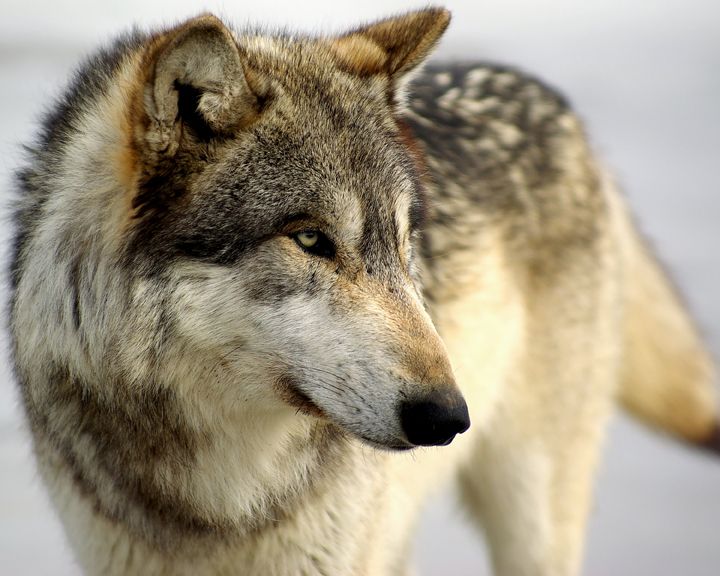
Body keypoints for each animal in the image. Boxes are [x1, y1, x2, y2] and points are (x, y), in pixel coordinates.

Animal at [9, 8, 718, 575]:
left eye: (404, 243)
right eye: (311, 239)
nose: (447, 417)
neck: (219, 500)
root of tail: (552, 100)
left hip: (531, 520)